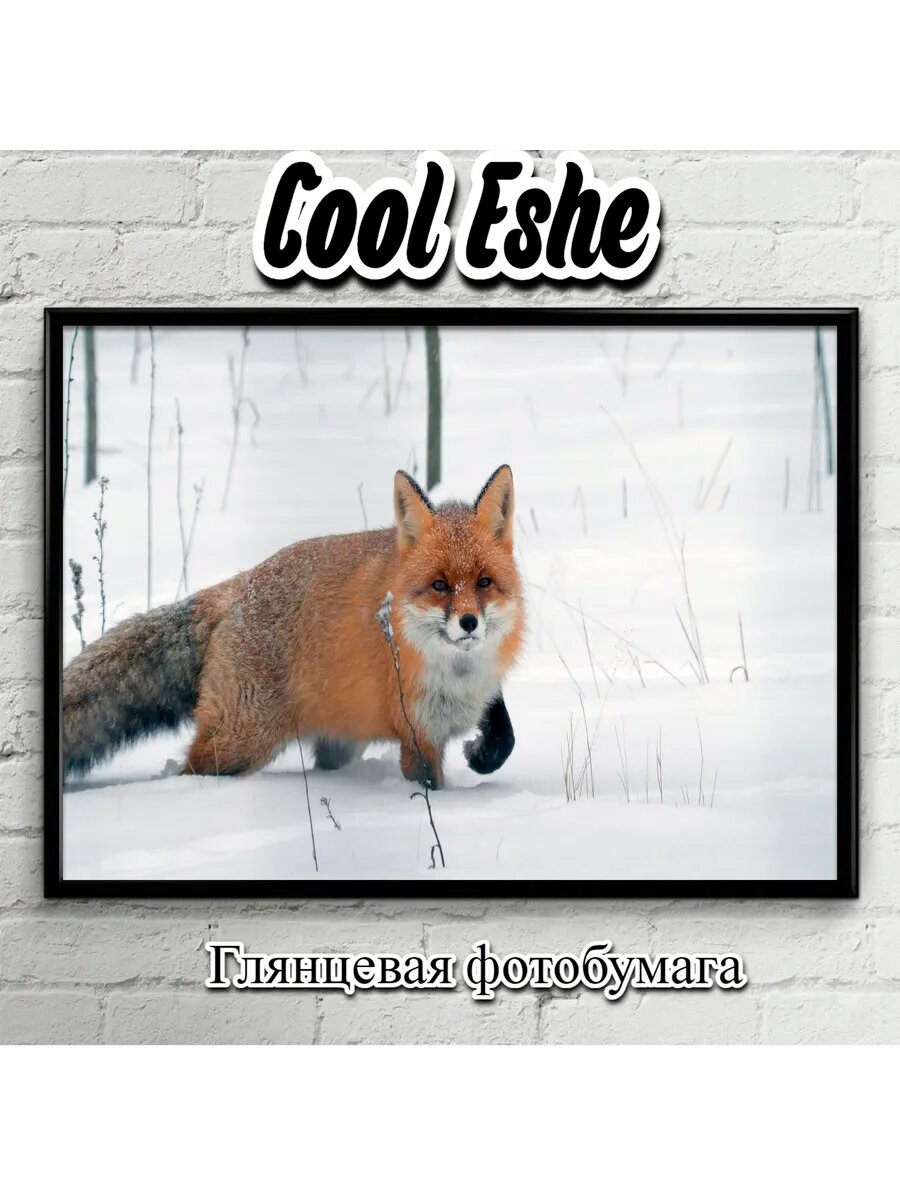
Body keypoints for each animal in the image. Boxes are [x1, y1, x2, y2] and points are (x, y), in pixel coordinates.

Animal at [63, 464, 525, 790]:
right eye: (439, 585)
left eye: (484, 582)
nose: (468, 622)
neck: (456, 675)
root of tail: (239, 585)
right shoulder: (416, 734)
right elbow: (429, 787)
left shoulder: (477, 692)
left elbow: (505, 736)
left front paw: (481, 752)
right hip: (241, 741)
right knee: (193, 772)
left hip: (337, 737)